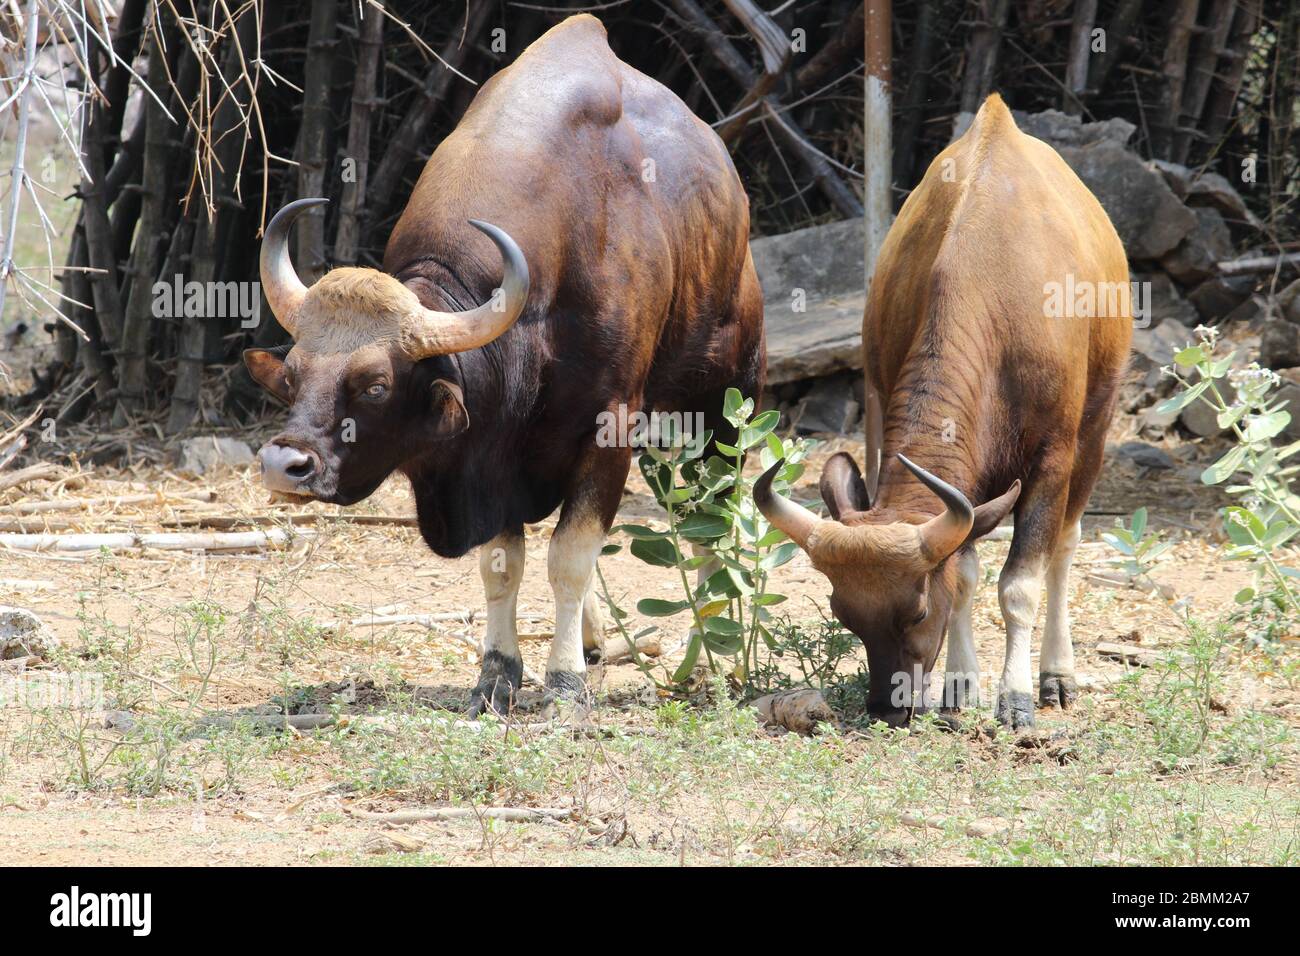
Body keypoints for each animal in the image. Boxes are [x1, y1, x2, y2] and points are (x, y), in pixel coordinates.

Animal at [243, 15, 764, 716]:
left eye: (375, 385)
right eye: (294, 375)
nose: (284, 465)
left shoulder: (610, 429)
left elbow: (570, 554)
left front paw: (566, 681)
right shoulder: (487, 457)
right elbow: (503, 564)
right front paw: (498, 674)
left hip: (724, 402)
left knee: (712, 519)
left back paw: (710, 656)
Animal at [755, 94, 1132, 729]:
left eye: (915, 611)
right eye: (845, 615)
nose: (888, 706)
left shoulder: (1052, 456)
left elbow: (1020, 582)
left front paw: (1015, 698)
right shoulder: (958, 470)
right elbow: (968, 572)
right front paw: (961, 686)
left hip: (1096, 429)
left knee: (1066, 545)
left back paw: (1057, 674)